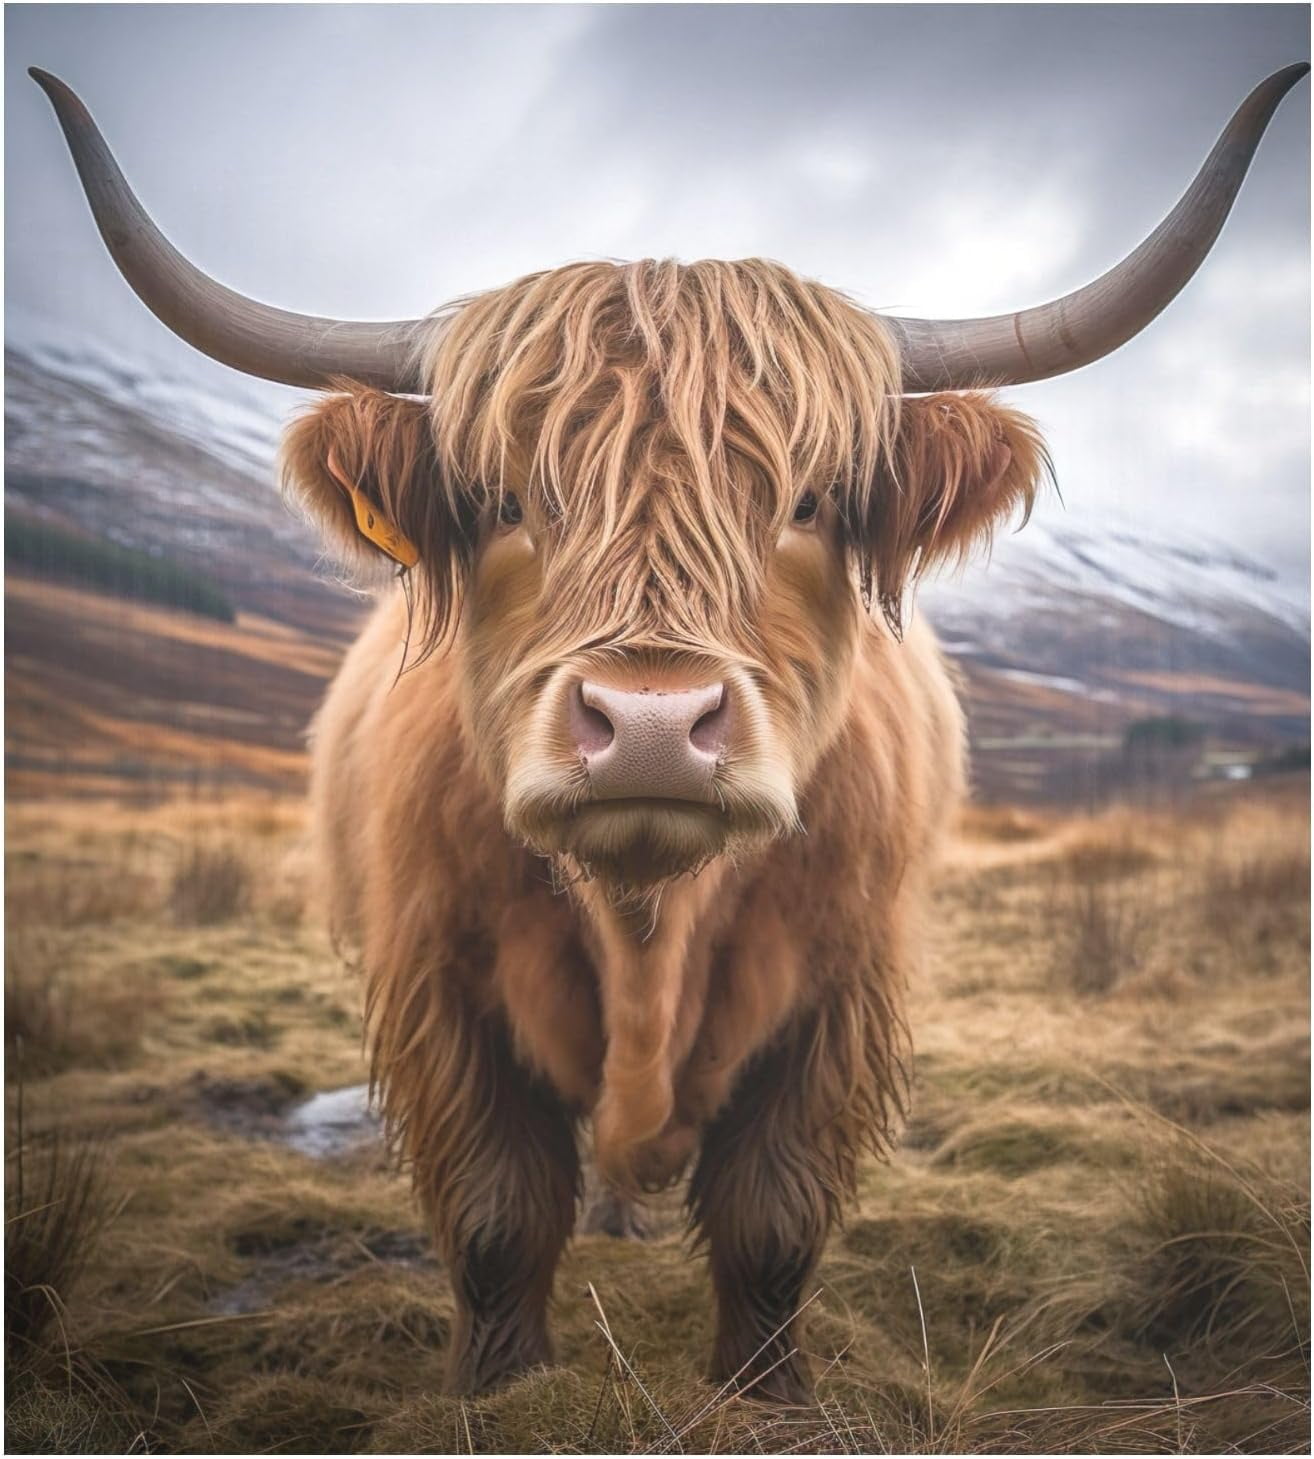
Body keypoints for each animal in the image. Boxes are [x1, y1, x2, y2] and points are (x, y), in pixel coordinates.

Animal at [33, 62, 1307, 1402]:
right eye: (502, 501)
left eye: (811, 500)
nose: (648, 726)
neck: (649, 928)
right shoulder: (439, 988)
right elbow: (497, 1219)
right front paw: (500, 1394)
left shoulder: (838, 997)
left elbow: (770, 1223)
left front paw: (769, 1397)